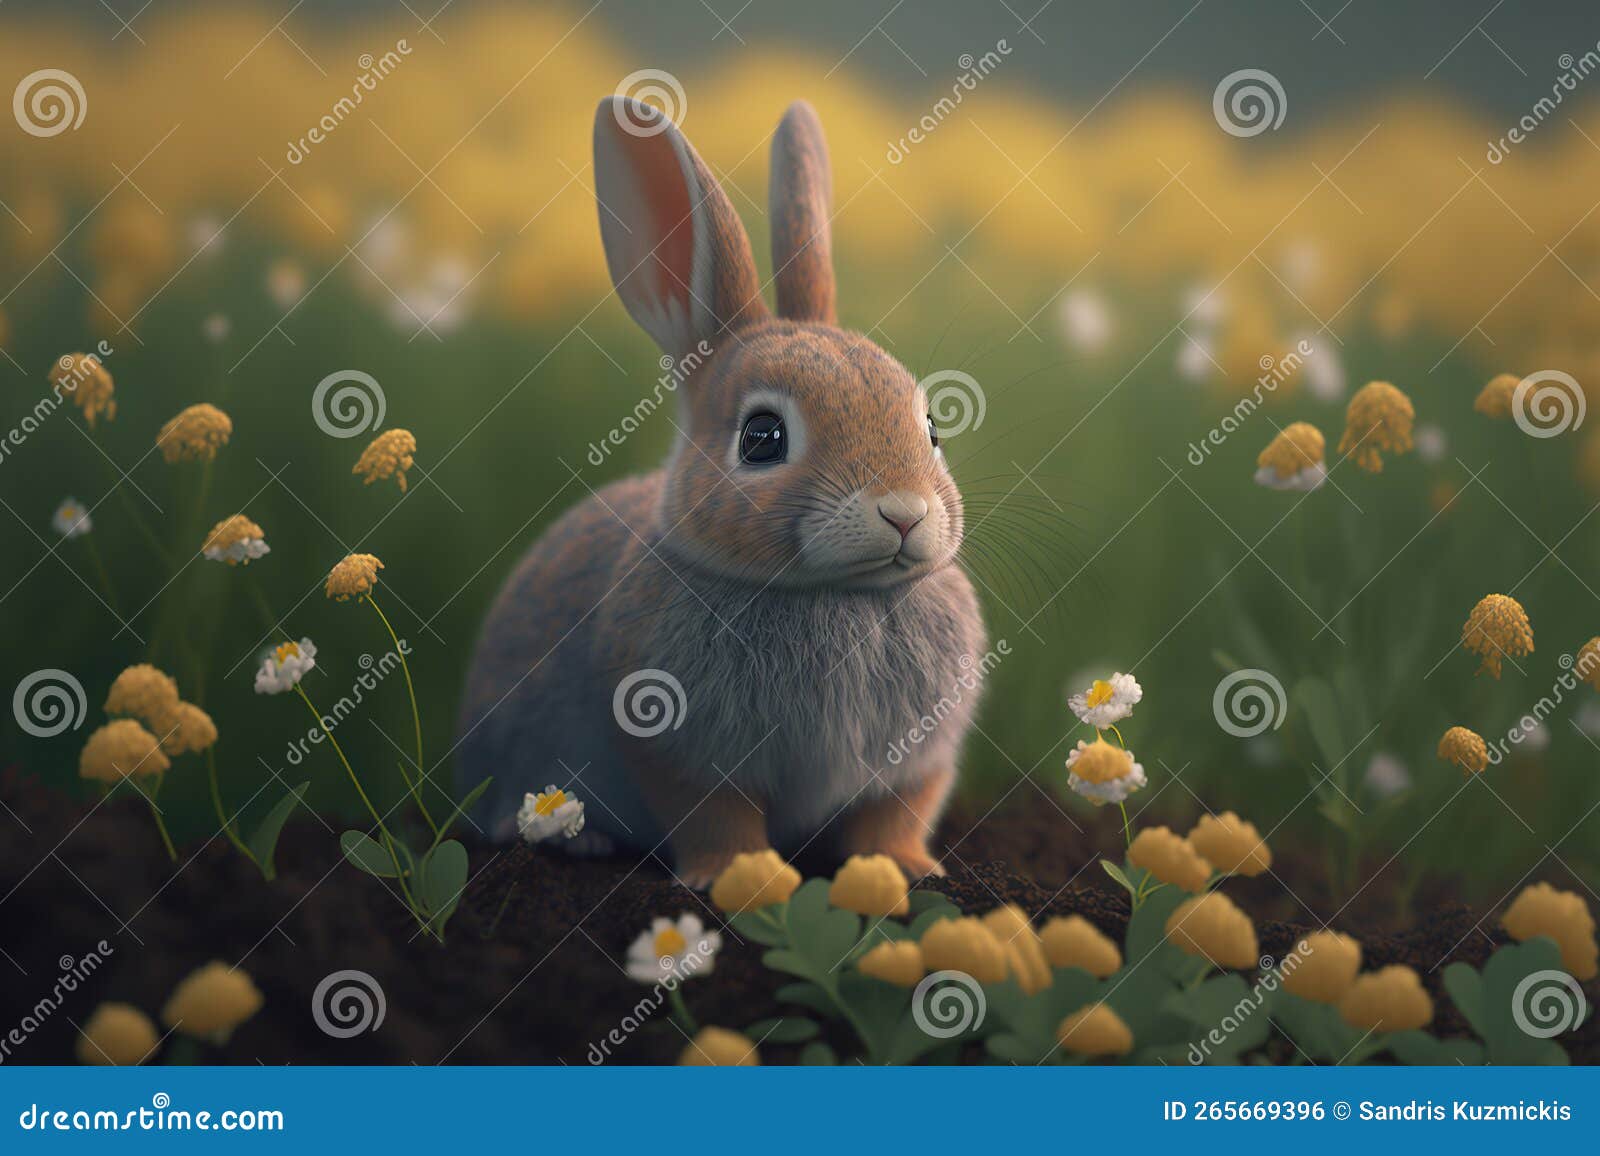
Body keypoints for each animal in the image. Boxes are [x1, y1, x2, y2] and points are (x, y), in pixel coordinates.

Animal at [456, 95, 988, 887]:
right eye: (762, 438)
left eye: (930, 427)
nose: (905, 513)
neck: (842, 595)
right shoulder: (677, 752)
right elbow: (717, 817)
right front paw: (749, 881)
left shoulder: (918, 761)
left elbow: (894, 815)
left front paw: (902, 872)